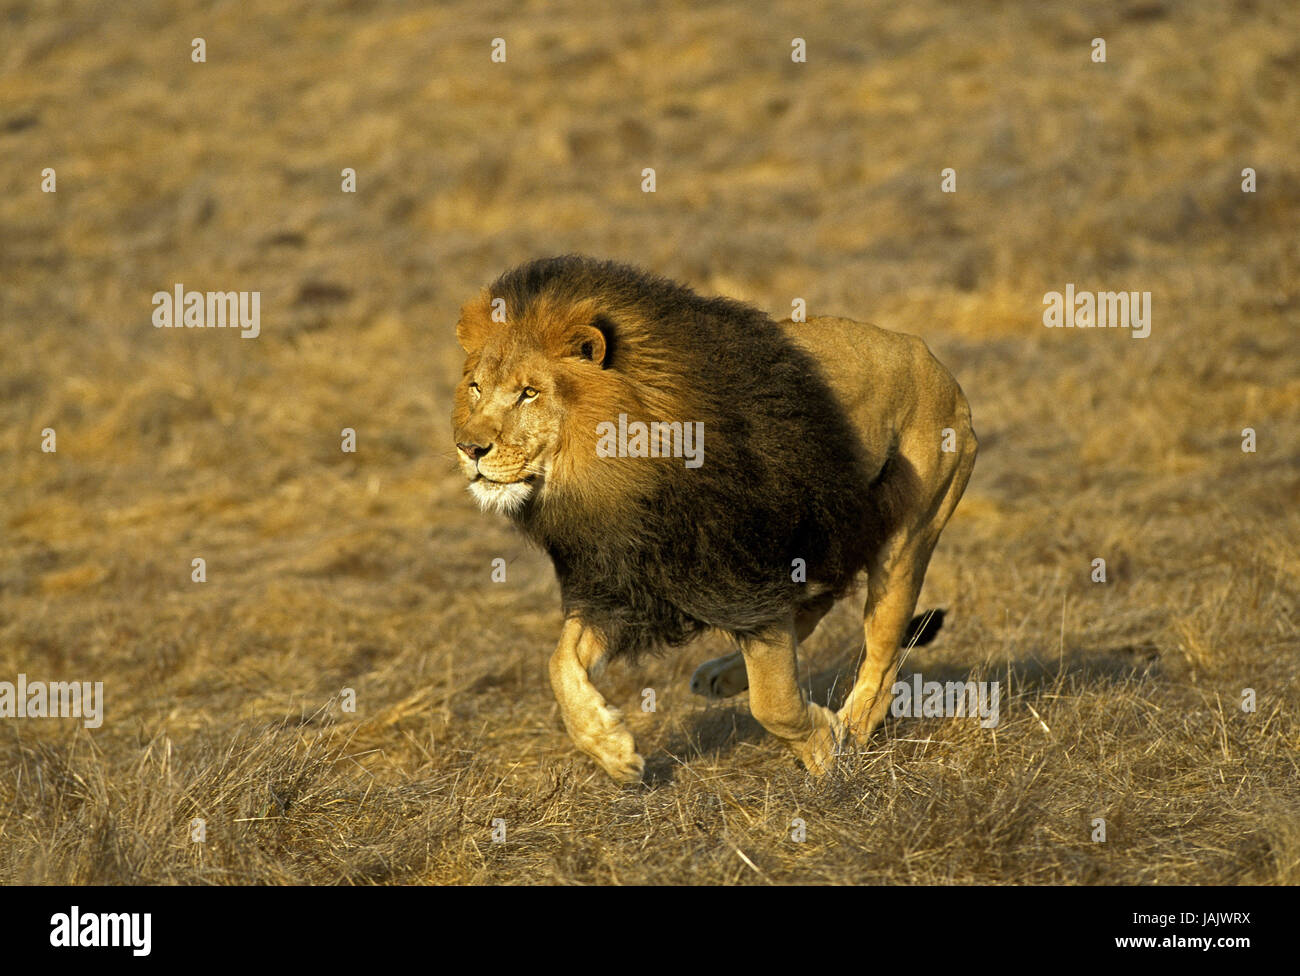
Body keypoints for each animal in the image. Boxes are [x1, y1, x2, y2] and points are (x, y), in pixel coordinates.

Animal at [451, 256, 976, 783]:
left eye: (529, 393)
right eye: (476, 387)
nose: (469, 448)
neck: (613, 478)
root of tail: (925, 353)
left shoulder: (752, 571)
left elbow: (774, 699)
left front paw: (826, 750)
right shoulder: (620, 583)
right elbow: (560, 663)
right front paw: (613, 750)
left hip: (909, 534)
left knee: (882, 657)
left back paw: (850, 736)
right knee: (815, 609)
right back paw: (724, 677)